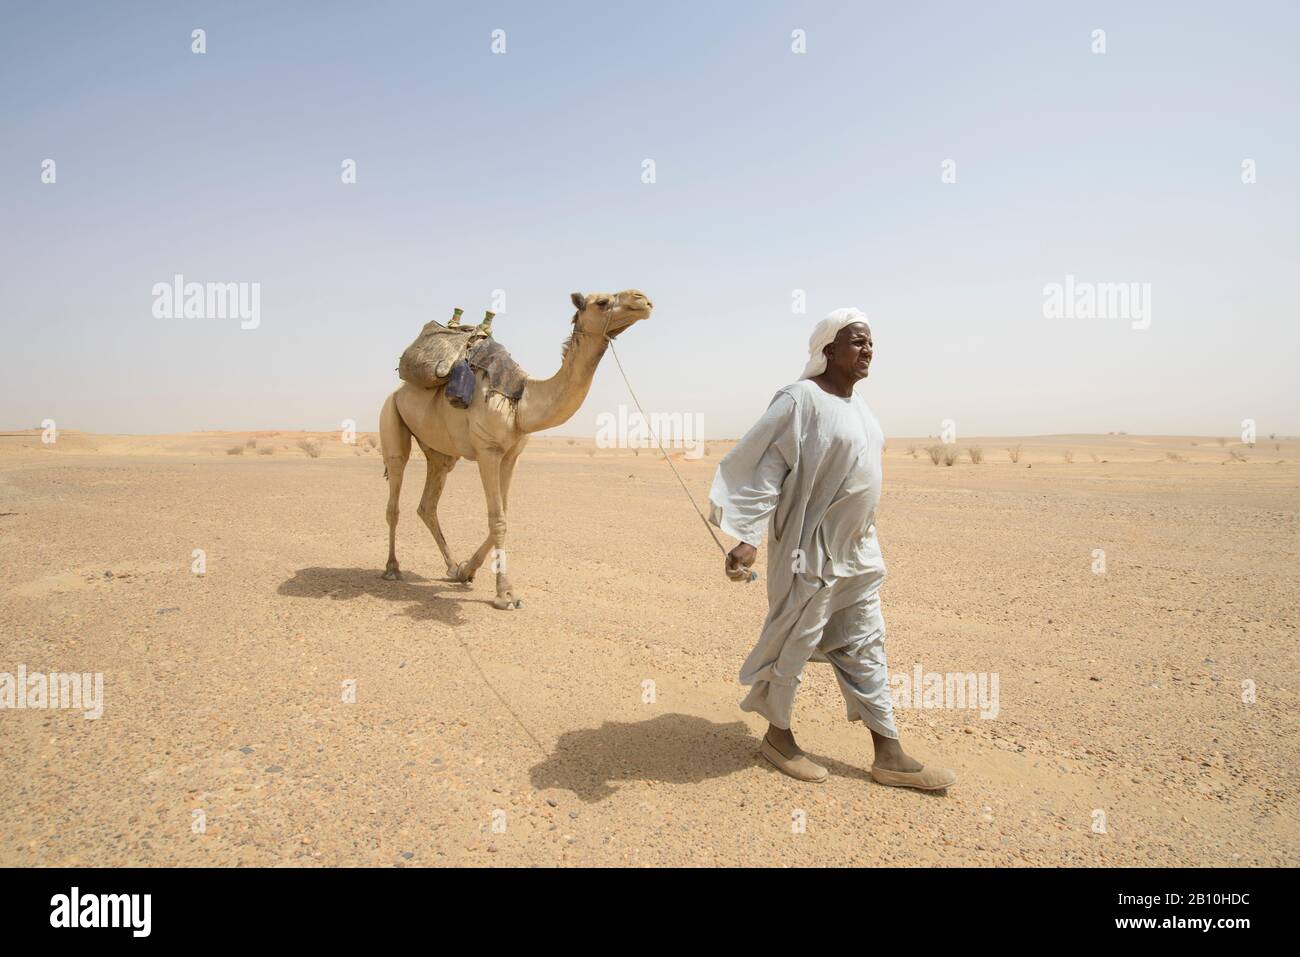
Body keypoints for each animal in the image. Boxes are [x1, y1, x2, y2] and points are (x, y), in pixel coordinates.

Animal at [379, 289, 653, 609]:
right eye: (601, 302)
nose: (642, 299)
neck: (521, 401)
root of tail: (398, 390)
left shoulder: (512, 454)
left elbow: (505, 513)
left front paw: (467, 570)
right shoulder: (487, 450)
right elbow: (497, 519)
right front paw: (506, 594)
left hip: (442, 453)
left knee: (427, 504)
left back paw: (452, 567)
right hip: (391, 415)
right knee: (395, 493)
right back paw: (392, 568)